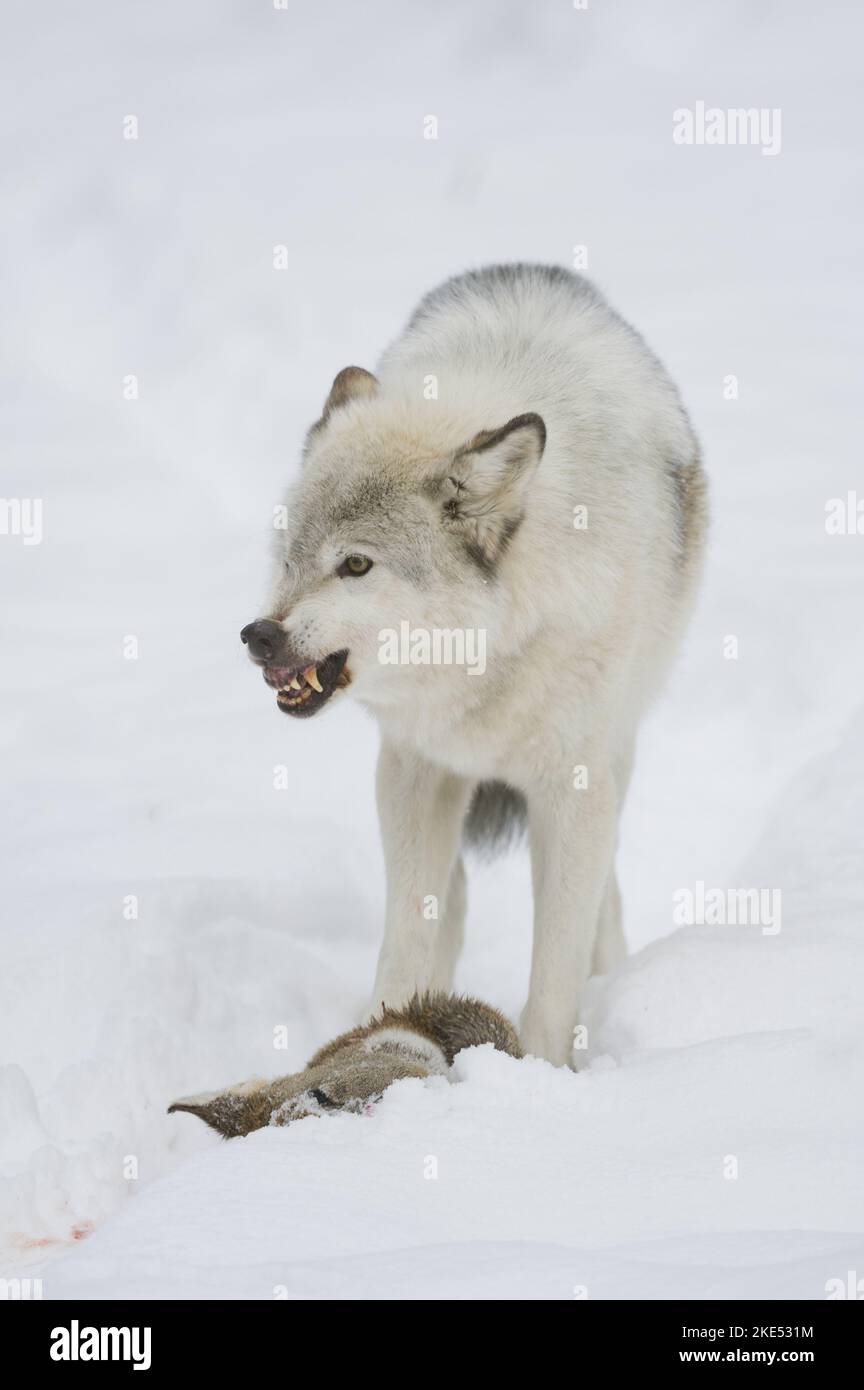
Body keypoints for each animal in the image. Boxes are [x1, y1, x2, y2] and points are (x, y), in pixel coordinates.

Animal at [241, 264, 707, 1065]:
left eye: (355, 565)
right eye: (292, 557)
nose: (259, 636)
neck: (488, 657)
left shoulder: (572, 791)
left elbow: (556, 964)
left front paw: (542, 1073)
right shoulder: (413, 768)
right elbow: (406, 934)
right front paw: (385, 1039)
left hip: (615, 753)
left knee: (602, 896)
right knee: (448, 897)